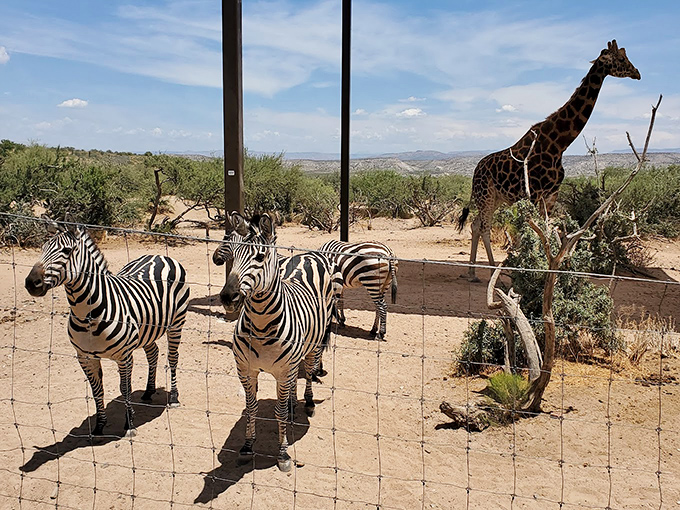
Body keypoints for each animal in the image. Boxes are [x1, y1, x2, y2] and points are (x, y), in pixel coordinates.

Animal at [24, 221, 190, 437]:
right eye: (42, 249)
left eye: (67, 251)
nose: (31, 283)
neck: (87, 314)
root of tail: (159, 255)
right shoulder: (85, 358)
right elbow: (97, 391)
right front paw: (99, 425)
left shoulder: (124, 356)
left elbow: (125, 388)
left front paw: (129, 424)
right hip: (148, 329)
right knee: (153, 353)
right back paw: (148, 391)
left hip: (176, 322)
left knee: (172, 358)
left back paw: (174, 397)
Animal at [213, 212, 335, 471]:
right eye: (233, 255)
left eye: (260, 257)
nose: (228, 297)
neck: (261, 325)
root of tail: (306, 255)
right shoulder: (245, 370)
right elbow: (251, 409)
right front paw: (247, 446)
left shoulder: (283, 370)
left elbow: (278, 412)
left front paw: (283, 453)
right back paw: (293, 405)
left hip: (314, 344)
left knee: (309, 371)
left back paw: (308, 402)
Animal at [458, 40, 640, 281]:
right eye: (620, 59)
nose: (637, 73)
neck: (559, 144)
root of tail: (476, 170)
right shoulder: (534, 193)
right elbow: (529, 235)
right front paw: (525, 274)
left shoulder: (551, 194)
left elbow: (544, 234)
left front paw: (543, 274)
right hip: (485, 195)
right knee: (484, 226)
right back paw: (488, 271)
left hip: (495, 197)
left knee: (476, 224)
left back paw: (473, 272)